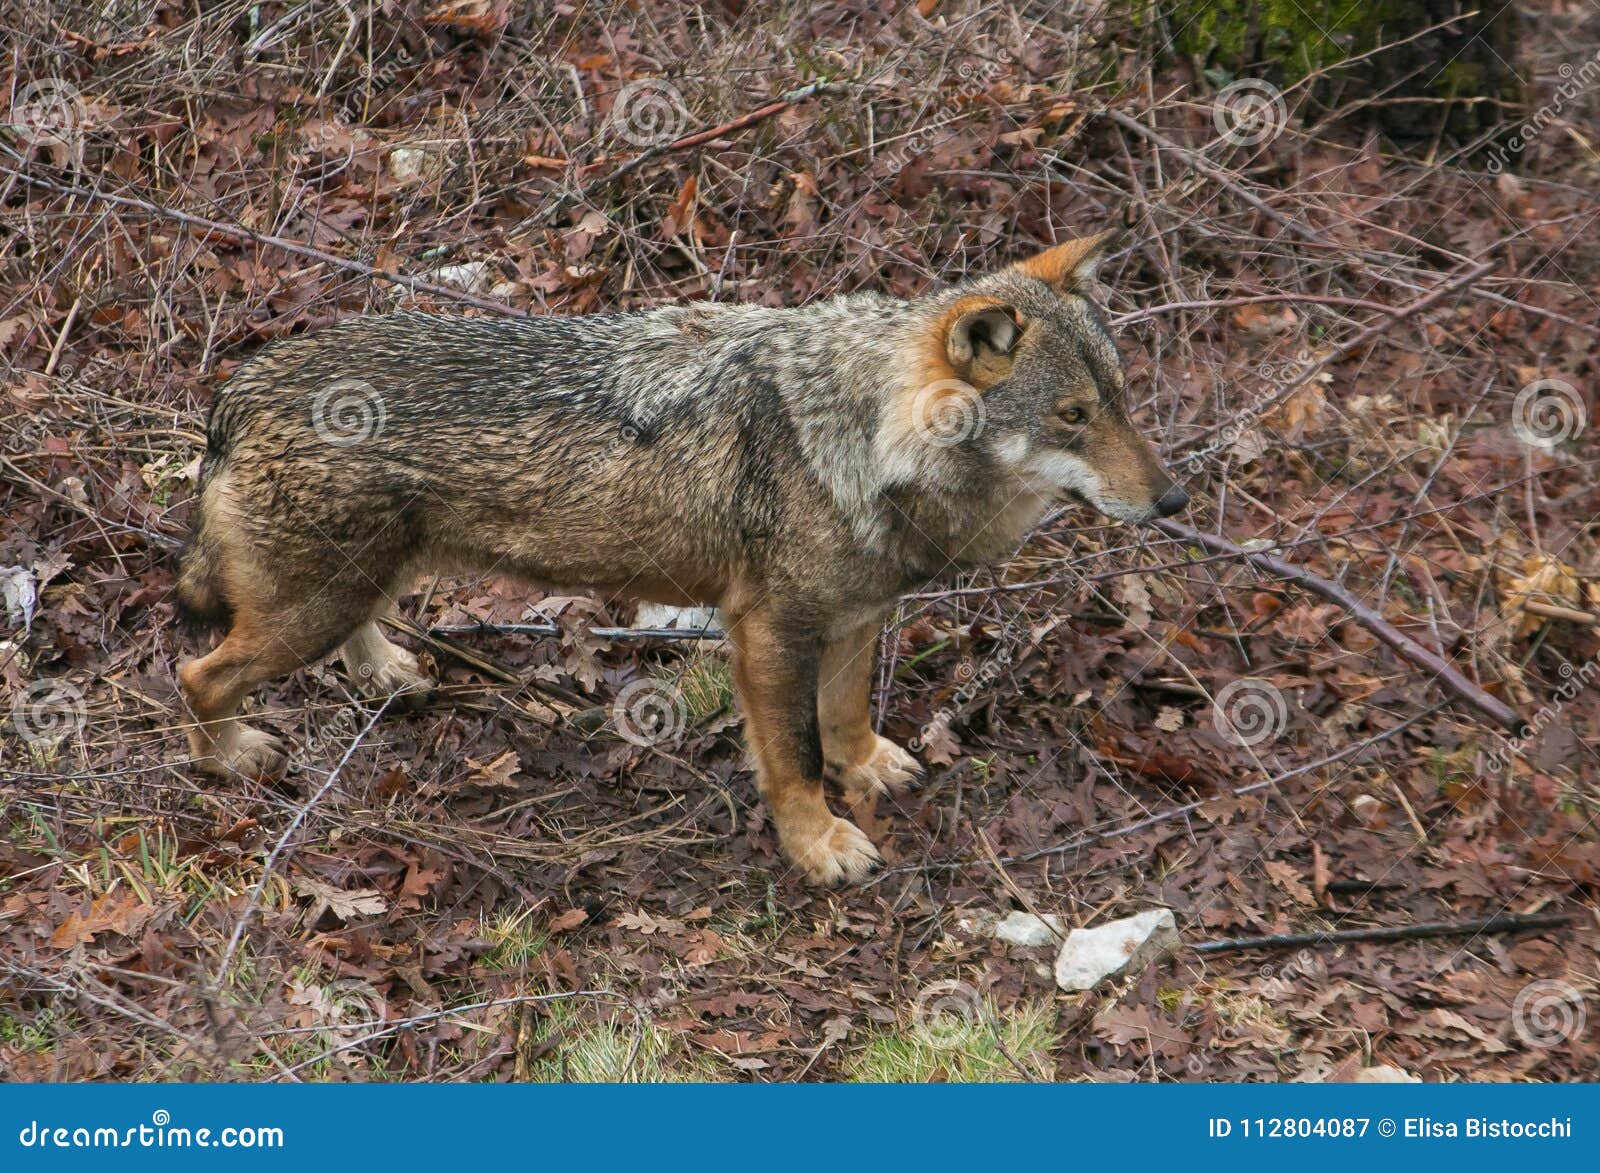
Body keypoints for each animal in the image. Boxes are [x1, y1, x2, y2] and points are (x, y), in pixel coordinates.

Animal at [175, 231, 1187, 885]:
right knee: (197, 673)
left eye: (1126, 401)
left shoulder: (857, 616)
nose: (1173, 500)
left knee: (343, 633)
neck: (862, 440)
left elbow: (847, 716)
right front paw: (819, 846)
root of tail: (236, 390)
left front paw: (868, 766)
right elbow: (794, 754)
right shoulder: (769, 631)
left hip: (355, 587)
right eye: (1072, 418)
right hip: (303, 613)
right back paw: (228, 759)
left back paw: (384, 670)